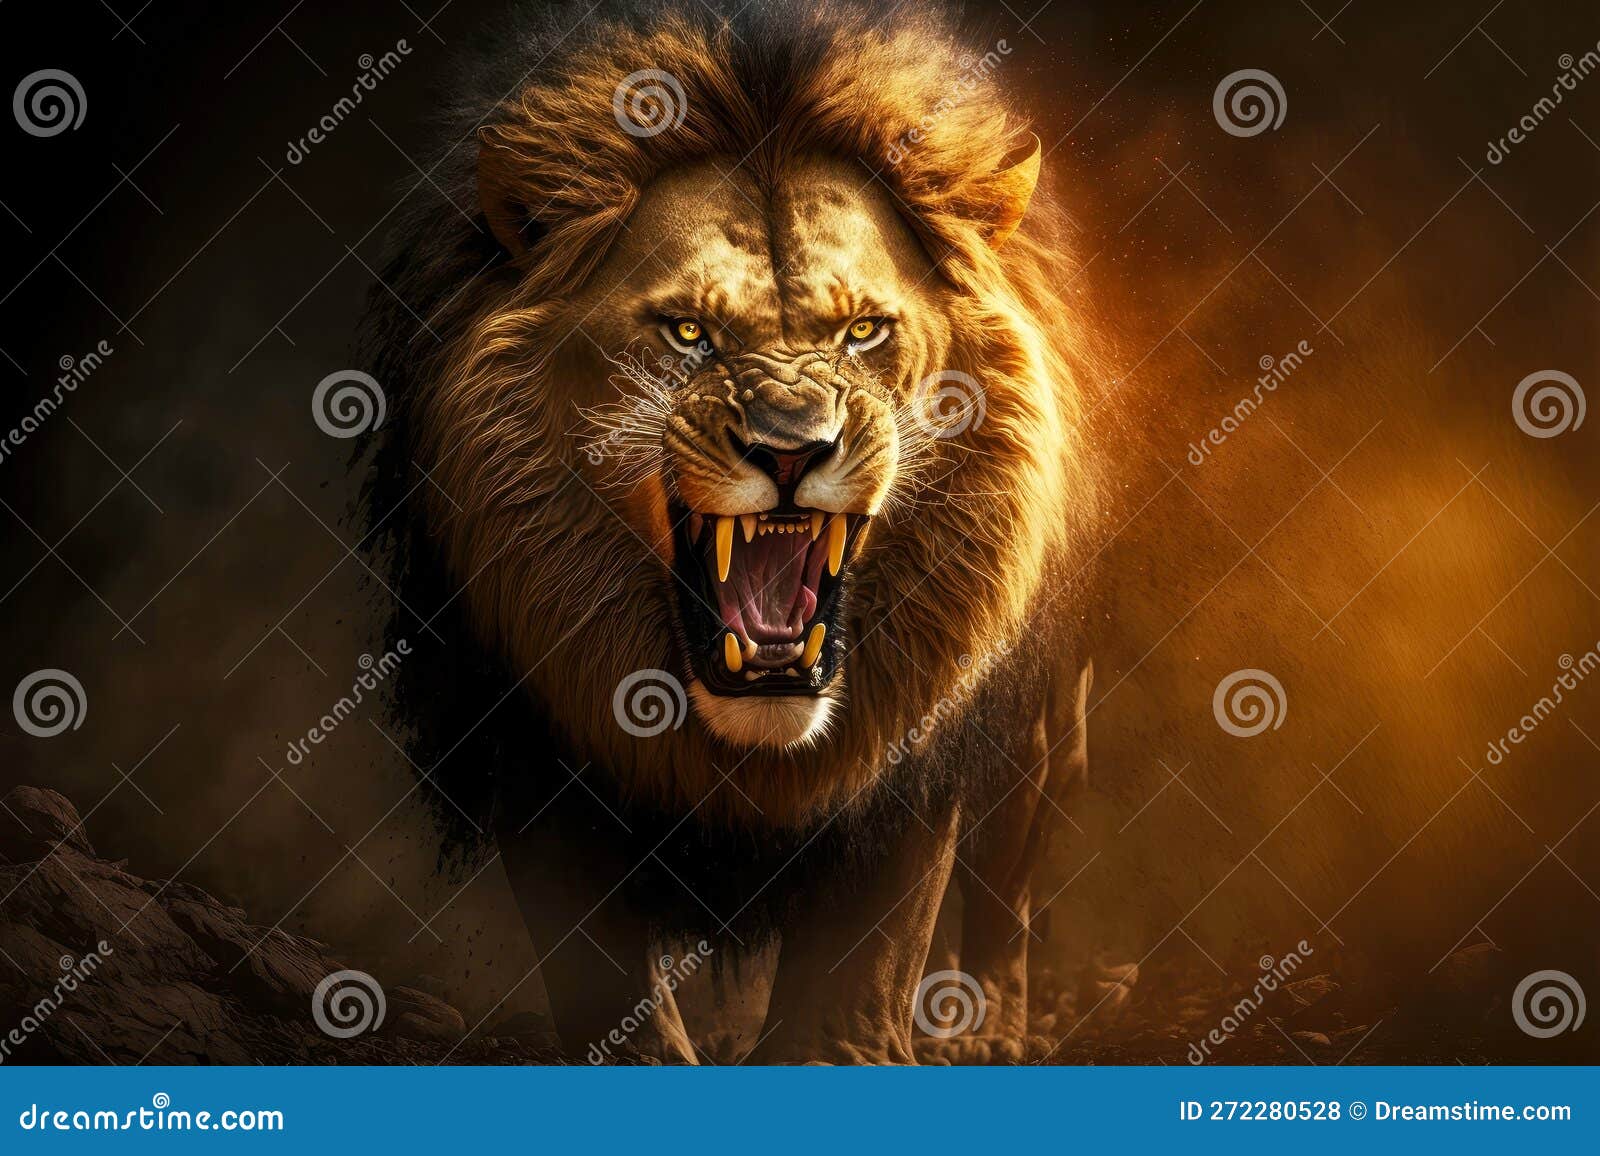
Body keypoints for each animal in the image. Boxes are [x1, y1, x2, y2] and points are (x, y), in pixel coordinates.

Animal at [358, 0, 1098, 1064]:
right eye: (688, 335)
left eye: (862, 333)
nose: (792, 447)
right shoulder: (532, 739)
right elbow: (605, 988)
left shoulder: (910, 764)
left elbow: (861, 975)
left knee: (1014, 863)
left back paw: (993, 1026)